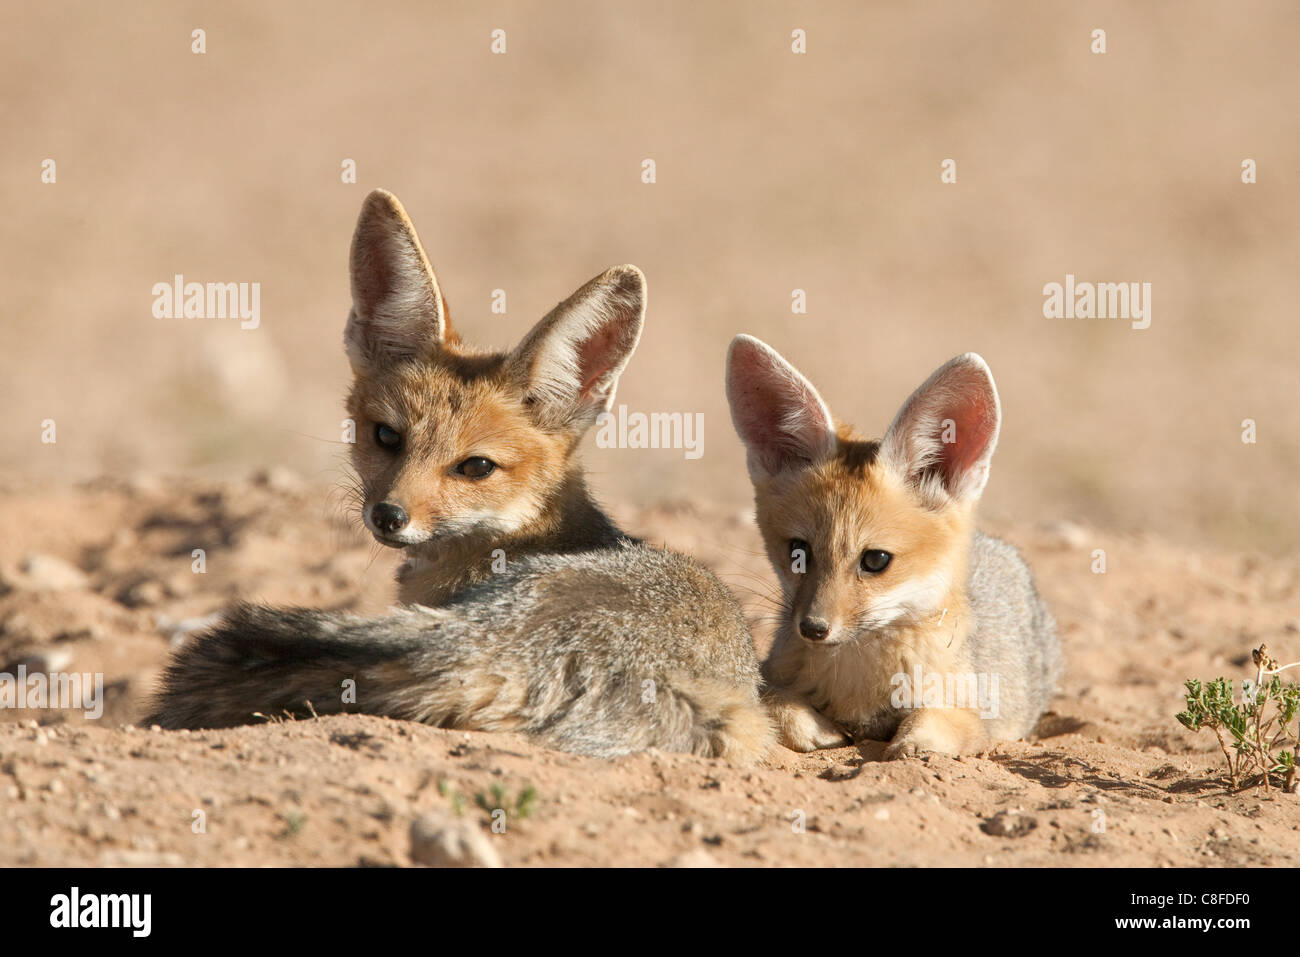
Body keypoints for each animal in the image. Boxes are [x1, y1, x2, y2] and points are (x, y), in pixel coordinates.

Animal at [724, 334, 1063, 759]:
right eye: (797, 553)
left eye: (876, 560)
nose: (813, 628)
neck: (858, 680)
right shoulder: (770, 673)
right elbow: (770, 699)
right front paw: (813, 727)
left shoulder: (971, 716)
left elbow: (933, 724)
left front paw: (912, 744)